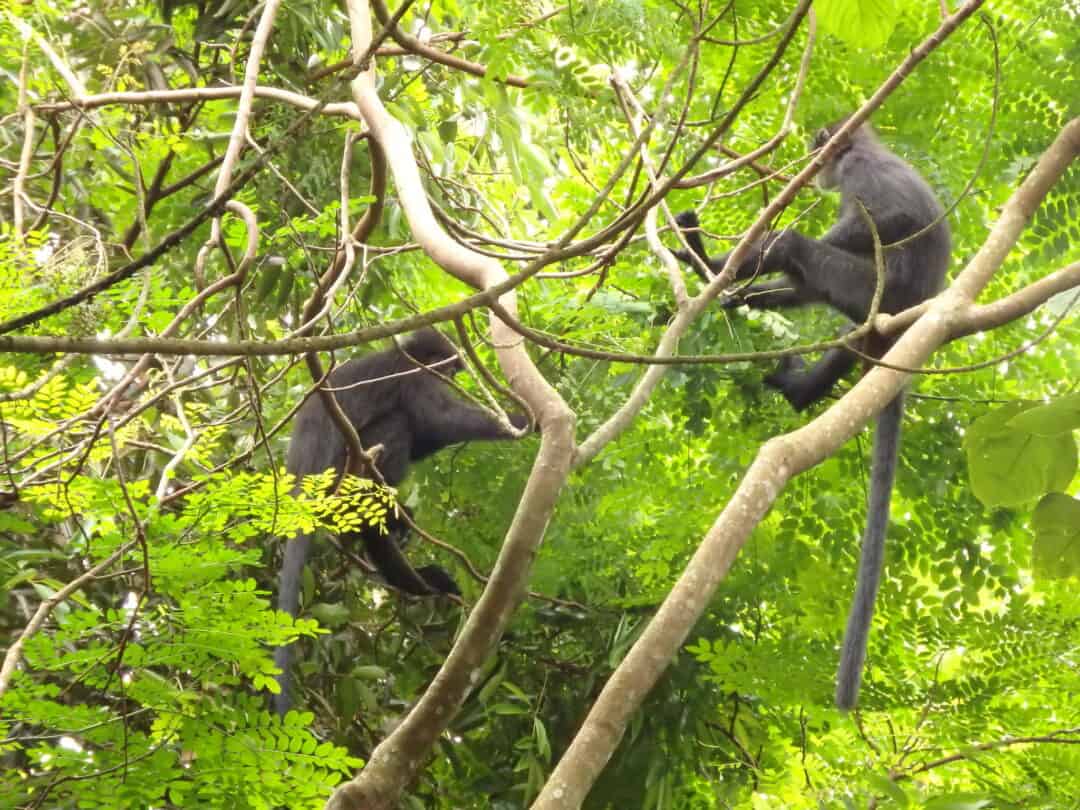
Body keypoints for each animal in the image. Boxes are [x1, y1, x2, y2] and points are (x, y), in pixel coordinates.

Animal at [273, 327, 530, 713]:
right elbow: (436, 421)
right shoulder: (414, 378)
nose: (453, 376)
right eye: (447, 369)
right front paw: (522, 420)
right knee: (398, 423)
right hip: (345, 470)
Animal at [674, 121, 951, 709]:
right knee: (811, 295)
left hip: (869, 291)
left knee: (800, 252)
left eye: (824, 149)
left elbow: (891, 219)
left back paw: (713, 264)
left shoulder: (863, 175)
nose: (814, 159)